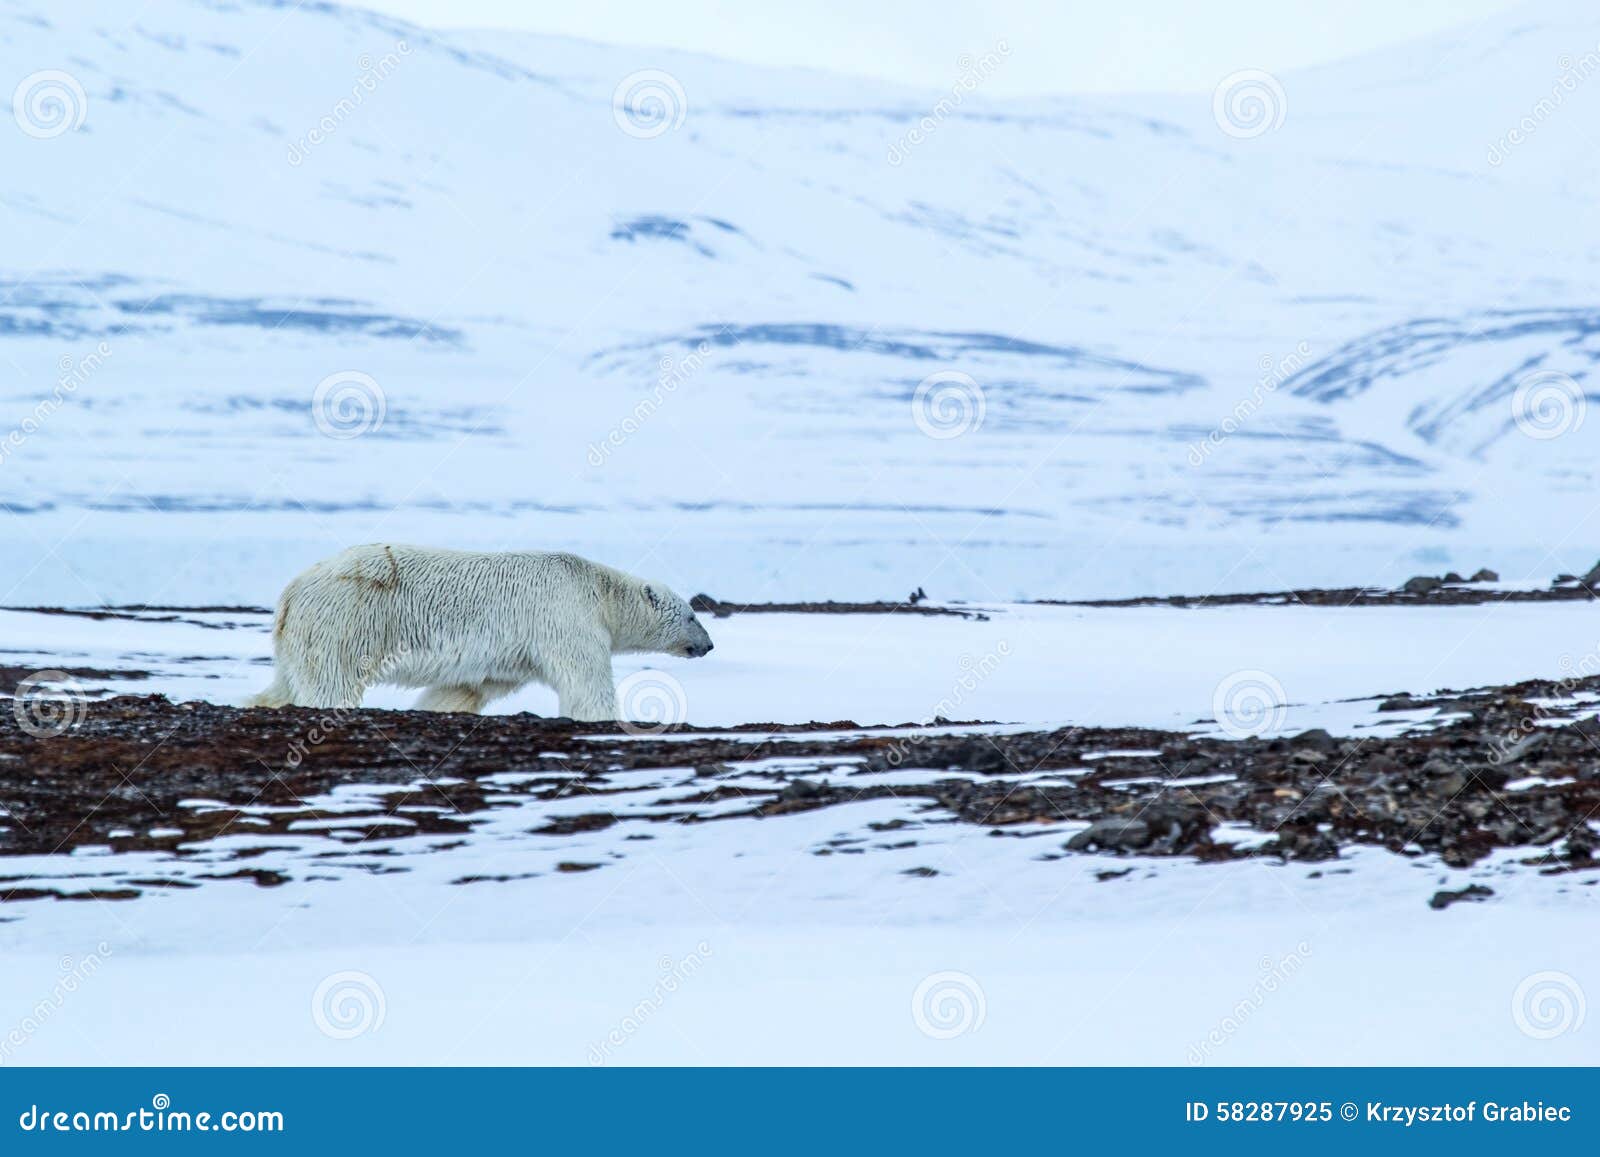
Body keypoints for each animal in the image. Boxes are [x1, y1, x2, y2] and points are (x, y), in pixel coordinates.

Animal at [245, 544, 713, 719]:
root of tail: (291, 591)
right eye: (692, 614)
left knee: (286, 681)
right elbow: (585, 677)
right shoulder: (566, 617)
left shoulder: (508, 657)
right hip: (345, 623)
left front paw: (437, 708)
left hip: (303, 635)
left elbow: (466, 687)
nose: (708, 645)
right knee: (332, 683)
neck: (597, 589)